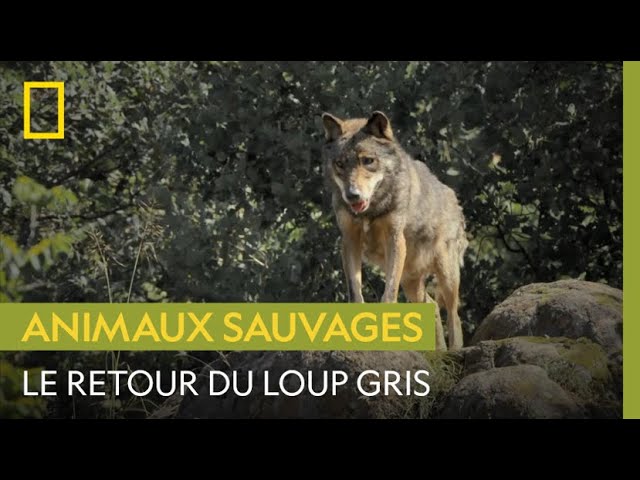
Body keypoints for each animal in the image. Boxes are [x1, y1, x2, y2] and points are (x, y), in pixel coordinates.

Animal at [321, 111, 469, 351]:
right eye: (340, 164)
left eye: (368, 161)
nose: (352, 195)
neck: (371, 209)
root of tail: (453, 197)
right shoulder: (349, 240)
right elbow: (355, 288)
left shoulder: (394, 238)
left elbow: (389, 290)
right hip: (411, 282)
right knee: (432, 306)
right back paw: (437, 352)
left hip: (446, 274)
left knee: (453, 315)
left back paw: (454, 350)